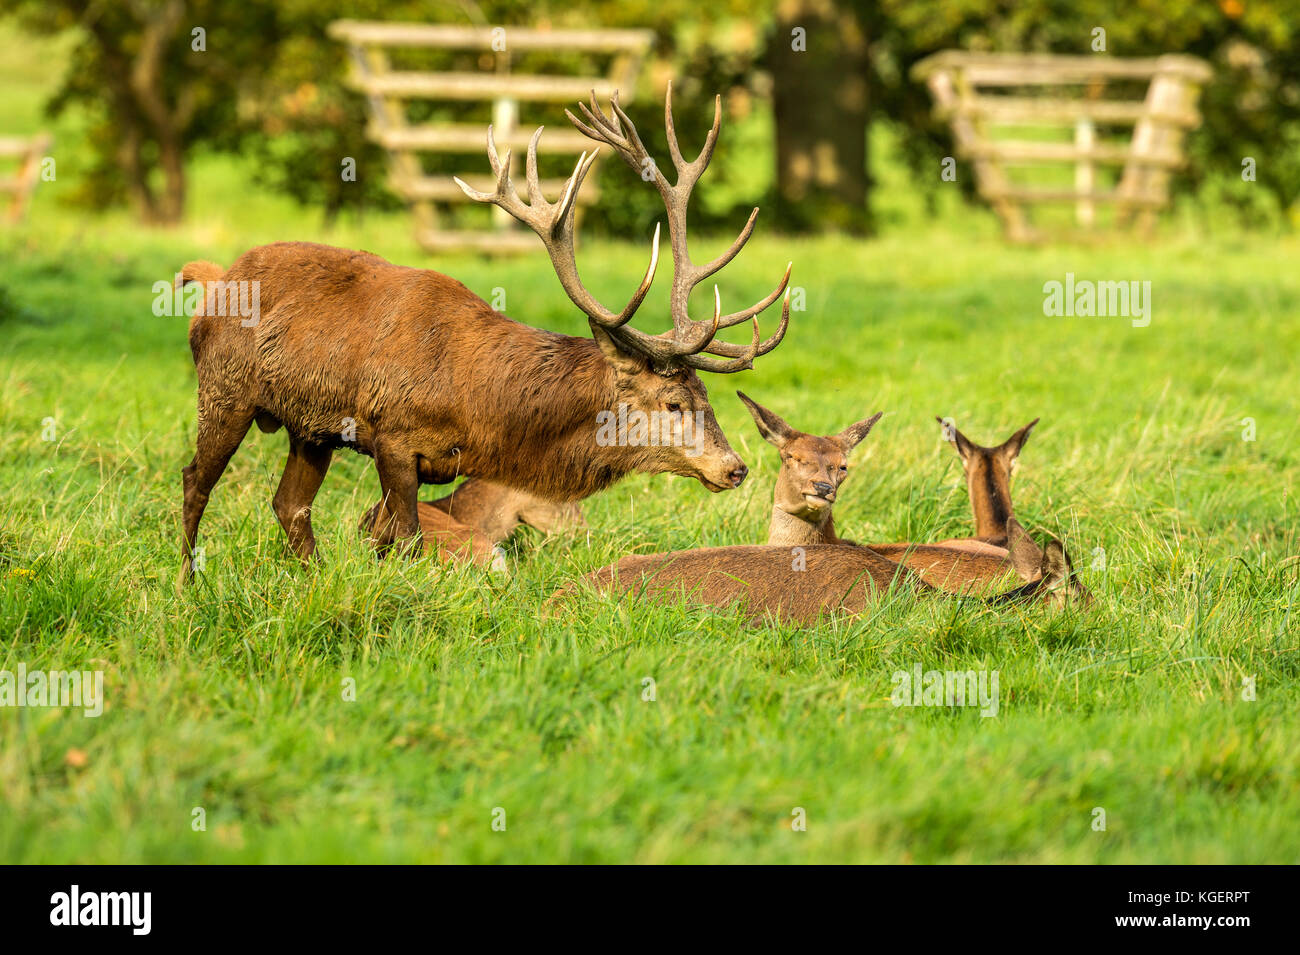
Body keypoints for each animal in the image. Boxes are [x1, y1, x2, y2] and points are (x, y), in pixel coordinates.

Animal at [175, 85, 792, 586]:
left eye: (704, 393)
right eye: (673, 401)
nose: (735, 467)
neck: (475, 404)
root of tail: (215, 278)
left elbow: (385, 538)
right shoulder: (391, 434)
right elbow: (407, 539)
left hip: (311, 429)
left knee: (289, 506)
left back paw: (312, 578)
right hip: (225, 388)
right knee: (195, 480)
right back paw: (187, 583)